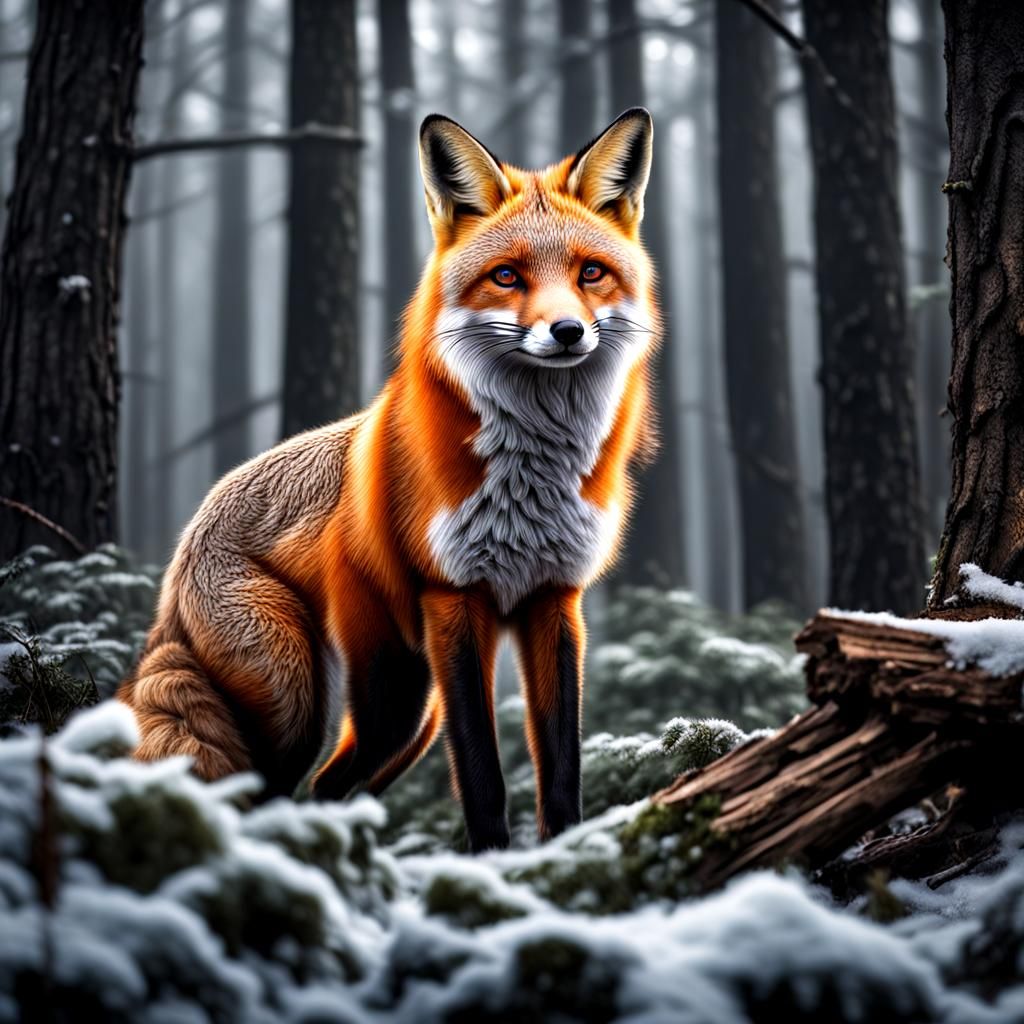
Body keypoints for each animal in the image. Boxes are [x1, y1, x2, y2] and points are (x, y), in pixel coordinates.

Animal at [118, 107, 662, 851]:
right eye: (507, 277)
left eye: (591, 273)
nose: (568, 331)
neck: (533, 474)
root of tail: (188, 537)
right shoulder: (455, 600)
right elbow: (484, 780)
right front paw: (492, 864)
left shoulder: (555, 601)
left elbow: (561, 772)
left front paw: (561, 859)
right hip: (318, 700)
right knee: (277, 788)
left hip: (406, 712)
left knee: (327, 788)